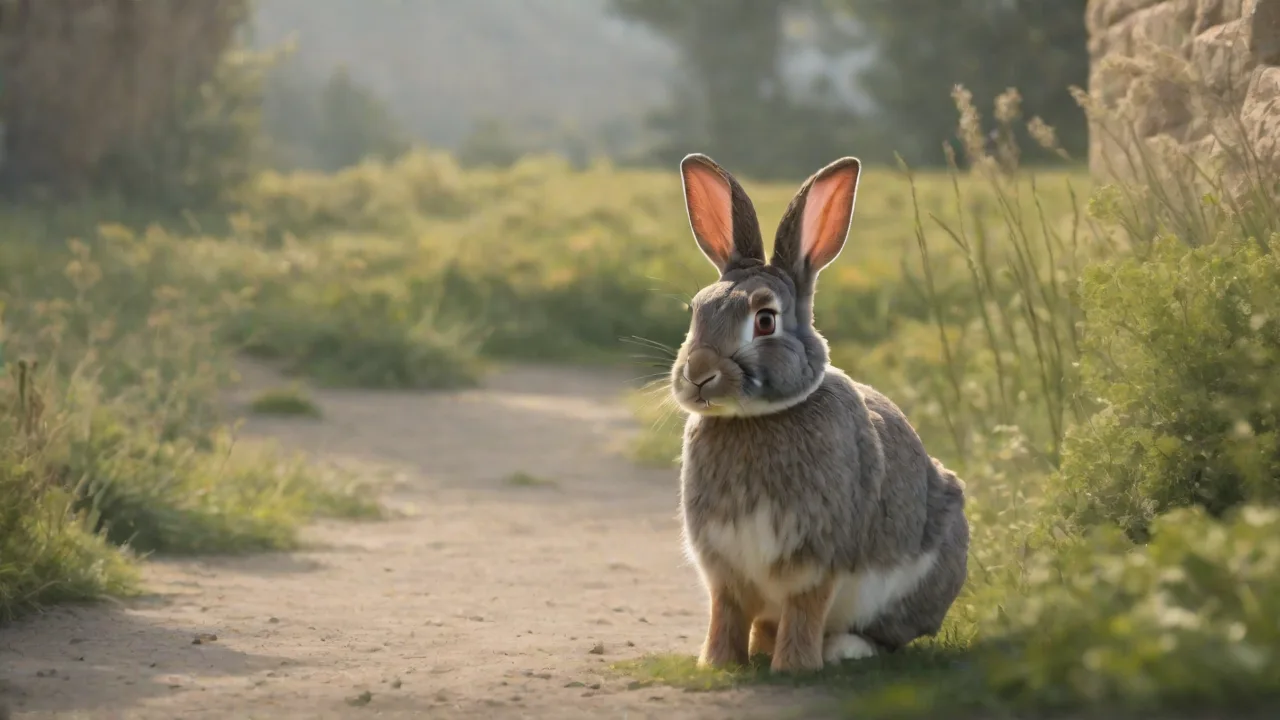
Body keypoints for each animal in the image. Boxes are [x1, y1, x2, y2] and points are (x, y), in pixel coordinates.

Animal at [669, 153, 970, 674]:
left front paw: (794, 667)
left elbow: (804, 610)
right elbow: (726, 611)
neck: (756, 418)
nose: (699, 374)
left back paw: (842, 650)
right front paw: (718, 664)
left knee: (884, 635)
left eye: (765, 320)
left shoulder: (816, 558)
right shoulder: (725, 567)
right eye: (696, 311)